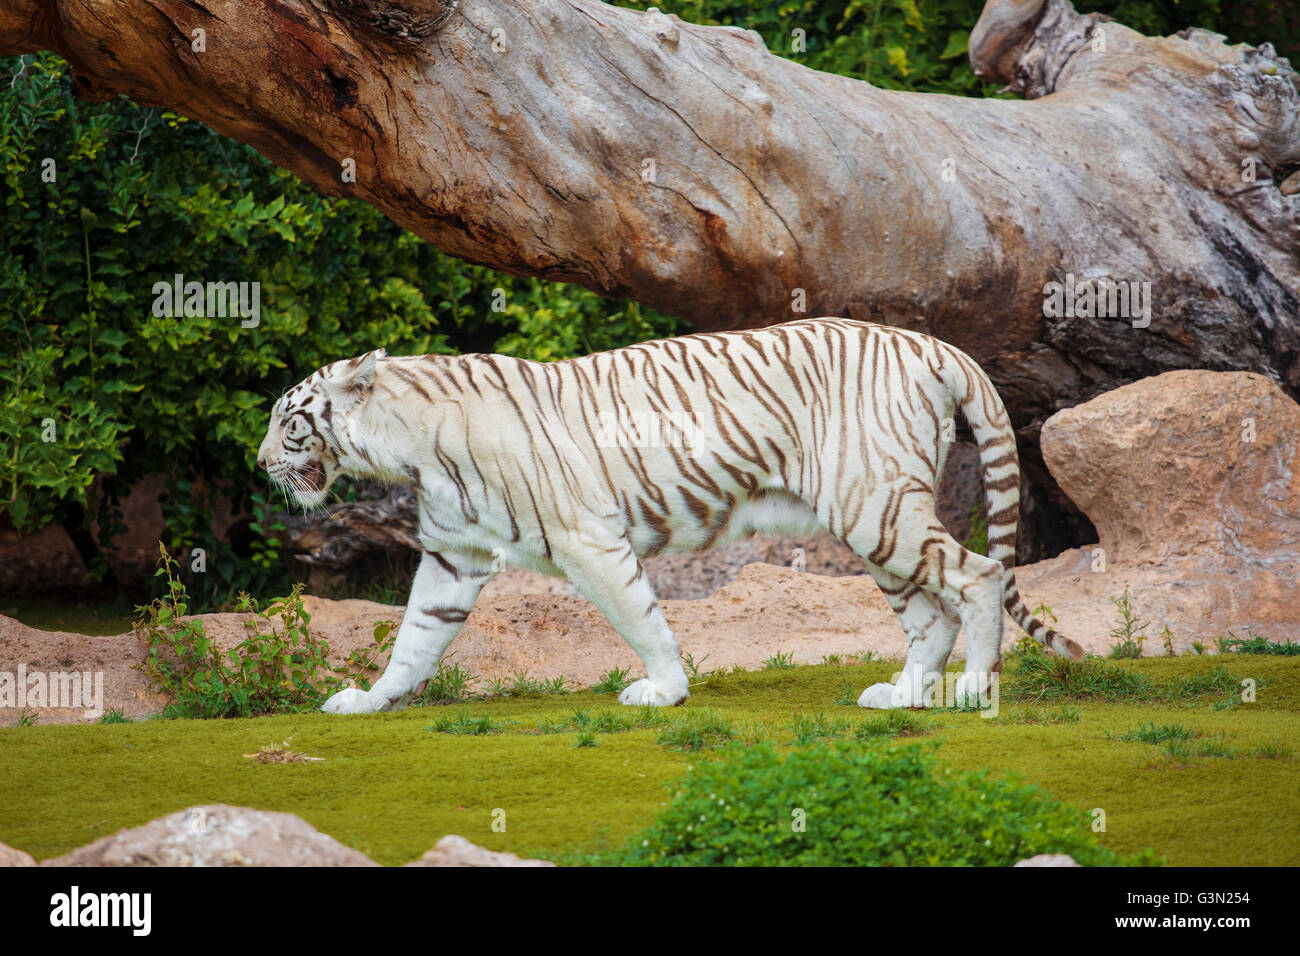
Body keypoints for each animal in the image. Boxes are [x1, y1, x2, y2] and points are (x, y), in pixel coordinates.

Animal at [256, 317, 1082, 715]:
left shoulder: (588, 540)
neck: (410, 452)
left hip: (875, 507)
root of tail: (933, 342)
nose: (259, 464)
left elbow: (640, 617)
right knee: (928, 614)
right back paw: (904, 696)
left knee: (977, 577)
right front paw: (369, 702)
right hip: (874, 518)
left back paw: (974, 690)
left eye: (289, 422)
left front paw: (664, 692)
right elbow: (414, 640)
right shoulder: (452, 556)